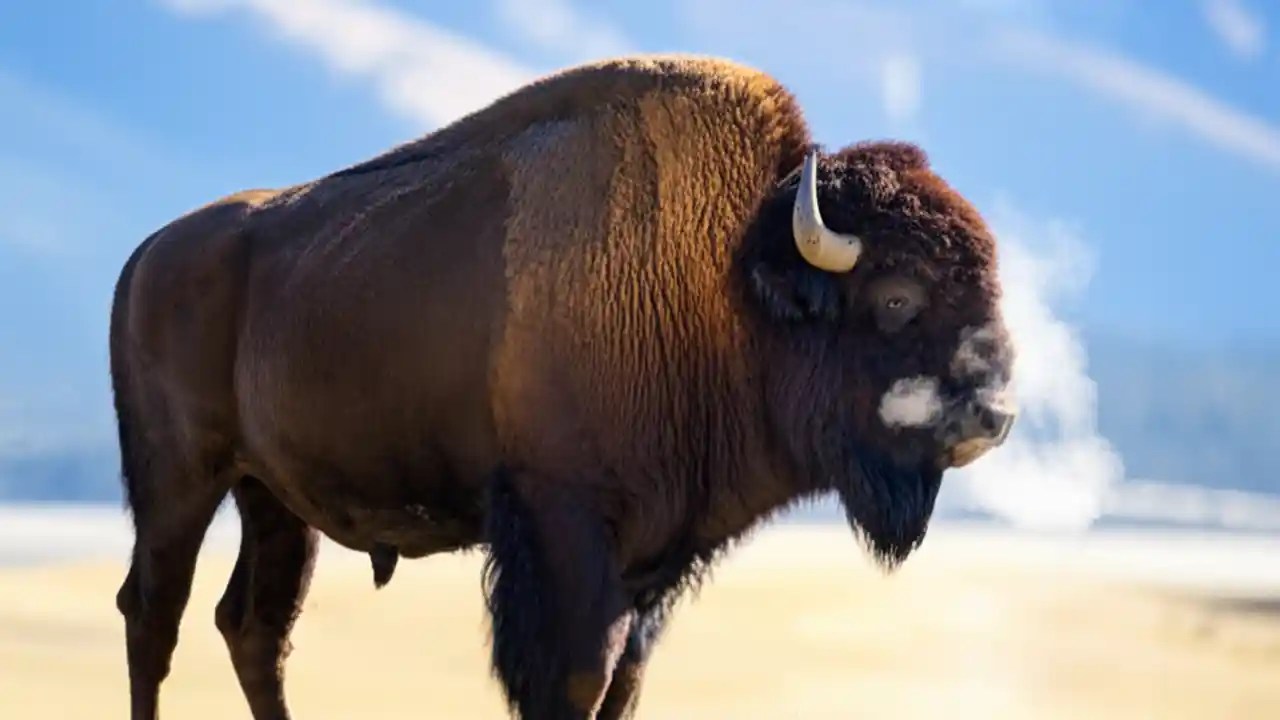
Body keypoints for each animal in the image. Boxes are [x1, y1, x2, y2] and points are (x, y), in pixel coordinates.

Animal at [109, 54, 1017, 719]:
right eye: (896, 296)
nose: (996, 414)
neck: (725, 281)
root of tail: (149, 252)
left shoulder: (653, 559)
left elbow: (624, 684)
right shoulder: (564, 526)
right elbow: (576, 682)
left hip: (272, 498)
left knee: (254, 628)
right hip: (177, 480)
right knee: (154, 615)